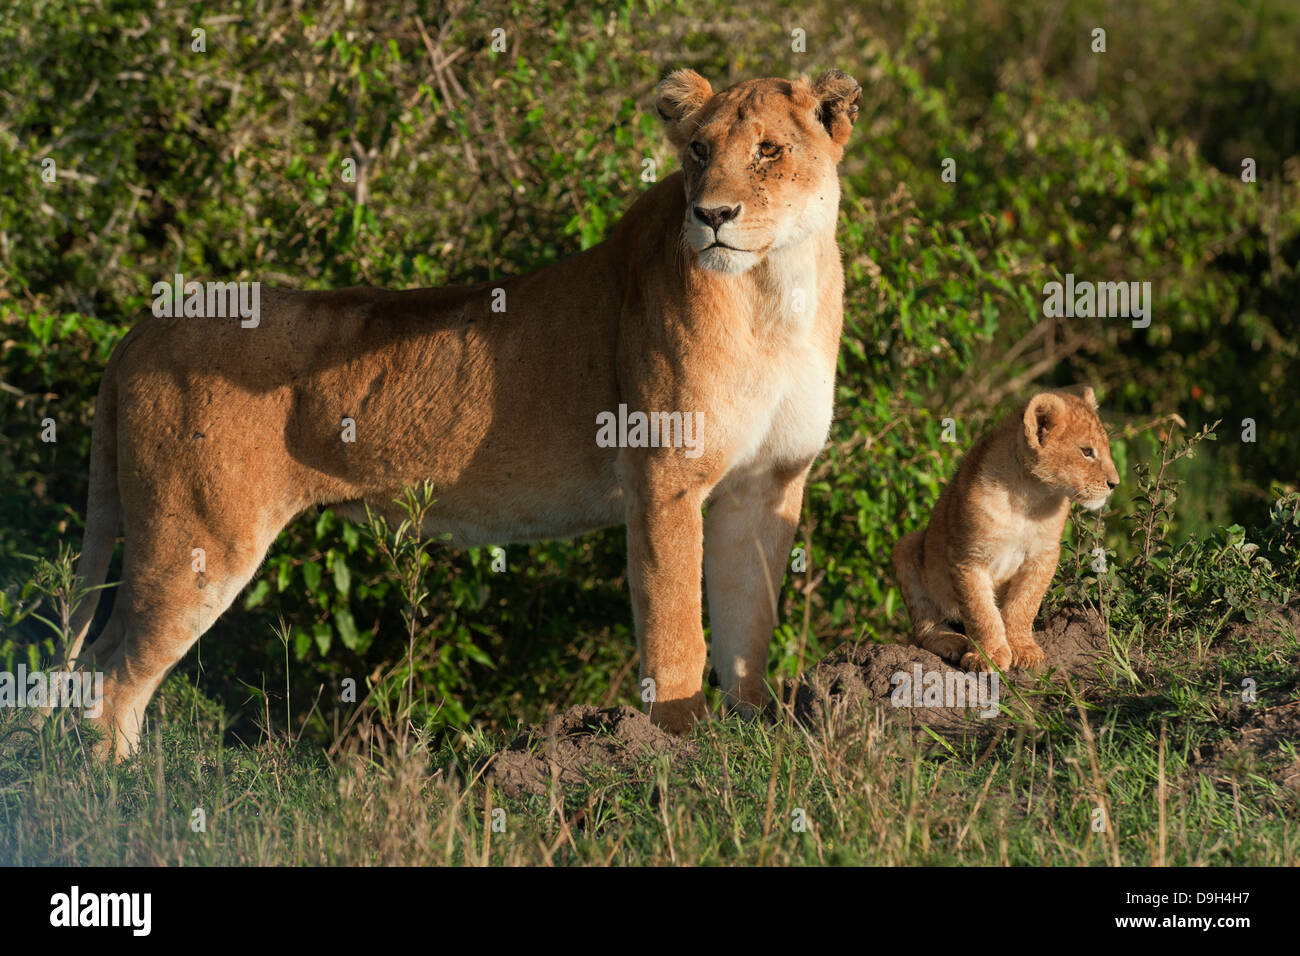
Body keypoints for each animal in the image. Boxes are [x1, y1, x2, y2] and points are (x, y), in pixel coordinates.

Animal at [64, 68, 862, 756]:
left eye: (768, 151)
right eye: (697, 151)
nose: (711, 215)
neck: (774, 292)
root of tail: (147, 324)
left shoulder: (766, 483)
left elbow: (747, 630)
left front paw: (751, 740)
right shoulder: (666, 477)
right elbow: (676, 637)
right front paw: (673, 756)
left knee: (98, 665)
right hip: (199, 537)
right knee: (109, 677)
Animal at [891, 386, 1120, 671]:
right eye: (1087, 451)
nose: (1115, 484)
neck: (1029, 496)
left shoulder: (1043, 555)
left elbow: (1024, 604)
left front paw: (1023, 649)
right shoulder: (968, 558)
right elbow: (981, 611)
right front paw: (987, 655)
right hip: (906, 545)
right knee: (924, 628)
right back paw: (951, 641)